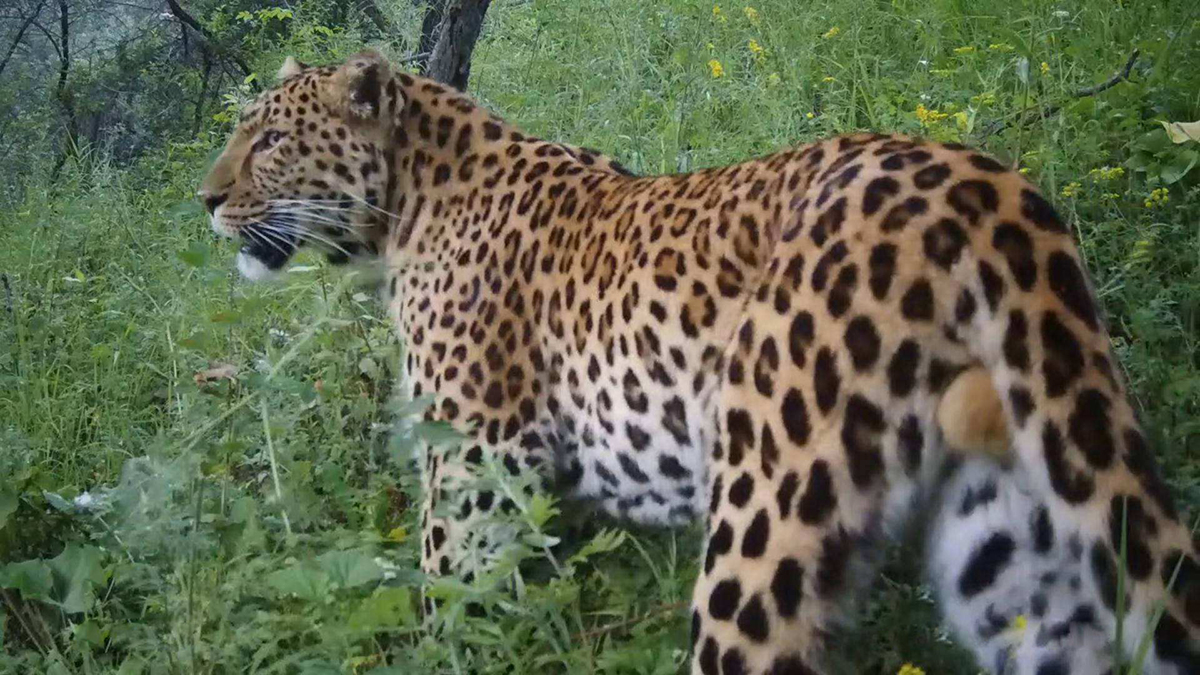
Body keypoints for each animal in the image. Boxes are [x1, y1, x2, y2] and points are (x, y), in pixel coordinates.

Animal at [198, 50, 1200, 674]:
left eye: (271, 140)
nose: (204, 200)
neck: (405, 211)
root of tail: (989, 190)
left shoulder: (477, 467)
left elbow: (448, 605)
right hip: (1014, 524)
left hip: (765, 511)